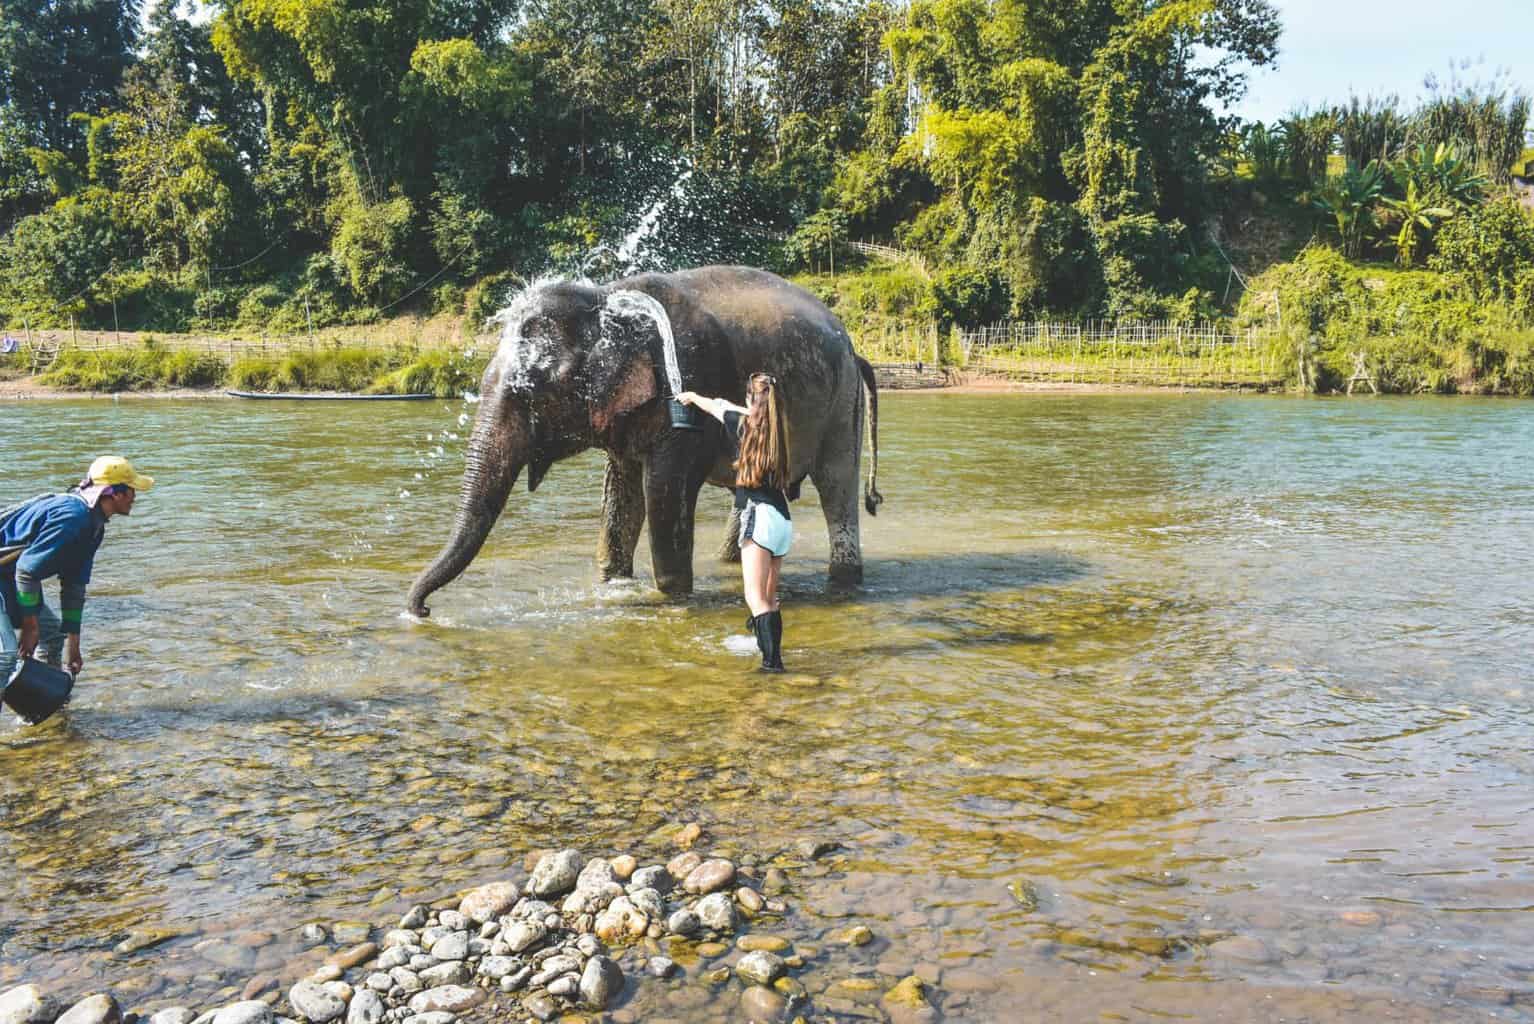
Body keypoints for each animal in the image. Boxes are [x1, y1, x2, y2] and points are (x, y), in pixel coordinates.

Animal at [407, 265, 883, 617]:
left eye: (534, 392)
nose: (423, 610)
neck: (605, 296)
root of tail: (853, 347)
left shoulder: (686, 379)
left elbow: (663, 493)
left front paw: (670, 597)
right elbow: (623, 497)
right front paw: (612, 583)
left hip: (841, 406)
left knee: (836, 486)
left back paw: (844, 580)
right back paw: (730, 562)